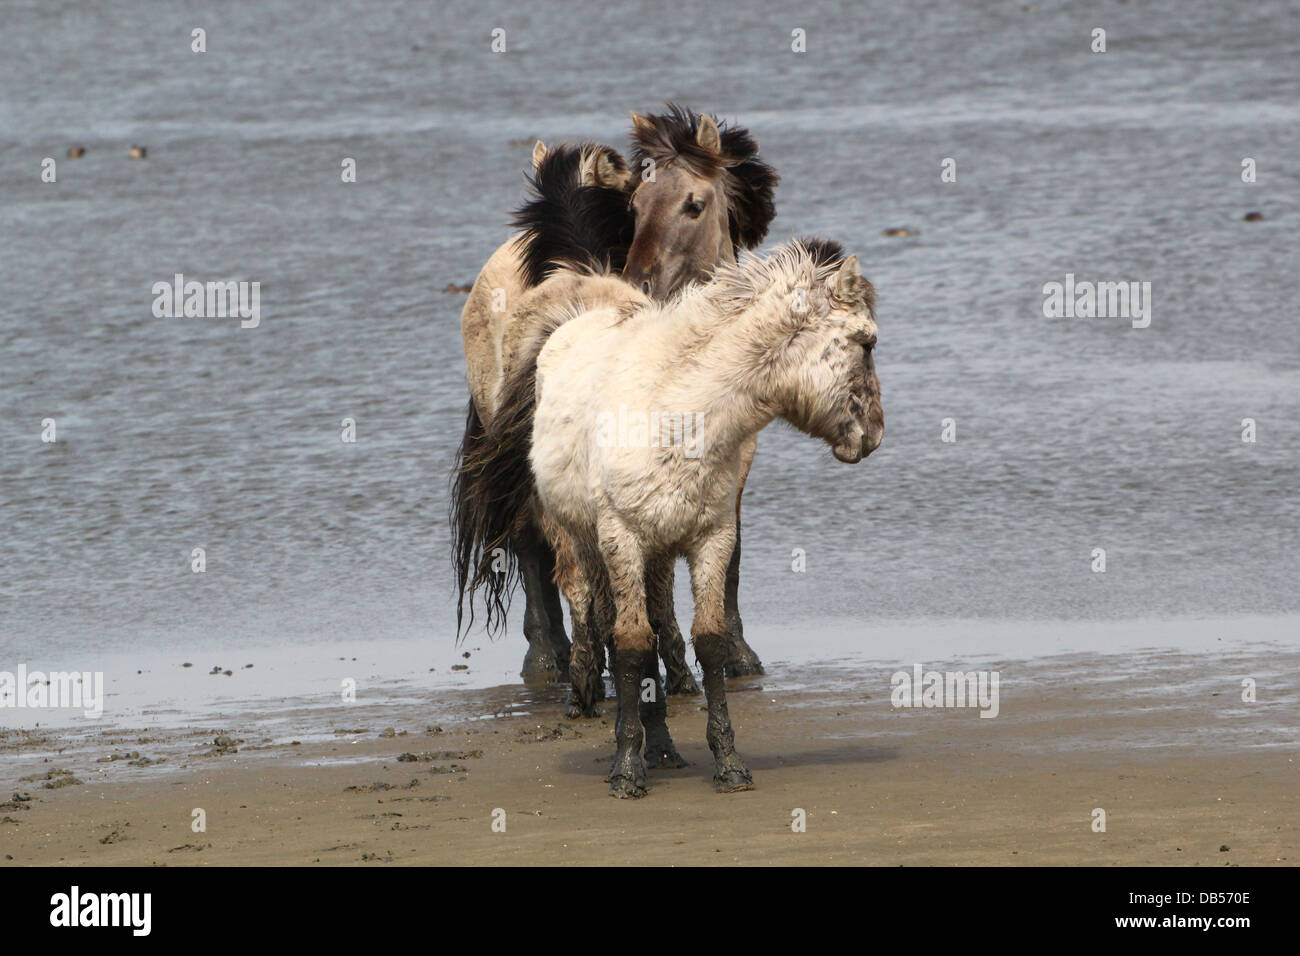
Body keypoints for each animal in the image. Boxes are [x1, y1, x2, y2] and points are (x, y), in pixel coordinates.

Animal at [452, 106, 778, 697]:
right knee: (532, 543)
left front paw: (738, 655)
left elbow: (729, 554)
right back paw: (549, 658)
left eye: (693, 204)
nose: (641, 278)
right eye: (635, 208)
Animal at [478, 238, 884, 797]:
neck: (682, 416)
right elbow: (629, 645)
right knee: (604, 623)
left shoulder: (711, 537)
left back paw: (665, 749)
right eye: (867, 344)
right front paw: (627, 770)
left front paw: (728, 763)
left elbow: (708, 642)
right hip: (591, 546)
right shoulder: (623, 539)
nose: (875, 434)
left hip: (658, 558)